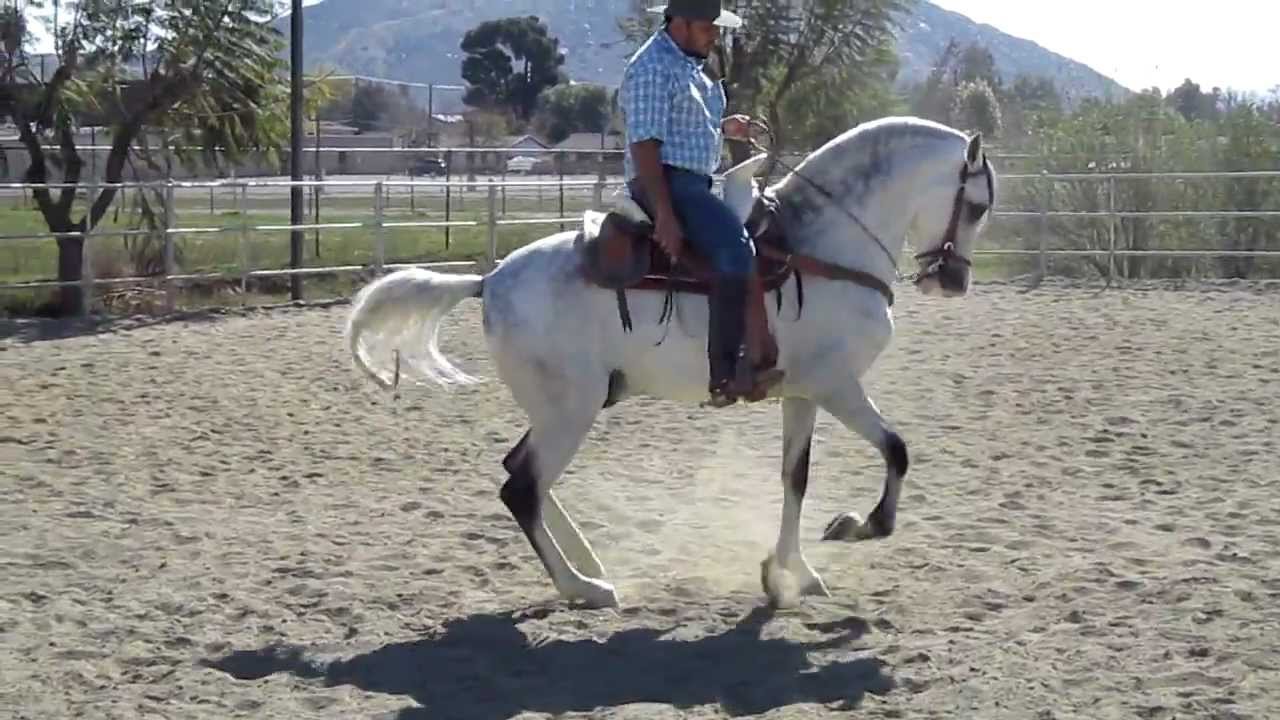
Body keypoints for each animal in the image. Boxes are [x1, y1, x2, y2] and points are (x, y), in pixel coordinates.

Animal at [344, 116, 998, 610]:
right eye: (978, 206)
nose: (954, 279)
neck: (823, 248)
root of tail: (491, 278)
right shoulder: (837, 386)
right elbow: (897, 450)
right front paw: (857, 527)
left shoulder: (801, 394)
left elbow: (795, 479)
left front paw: (788, 572)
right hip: (570, 411)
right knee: (522, 487)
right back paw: (585, 587)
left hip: (566, 407)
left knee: (522, 473)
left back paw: (587, 561)